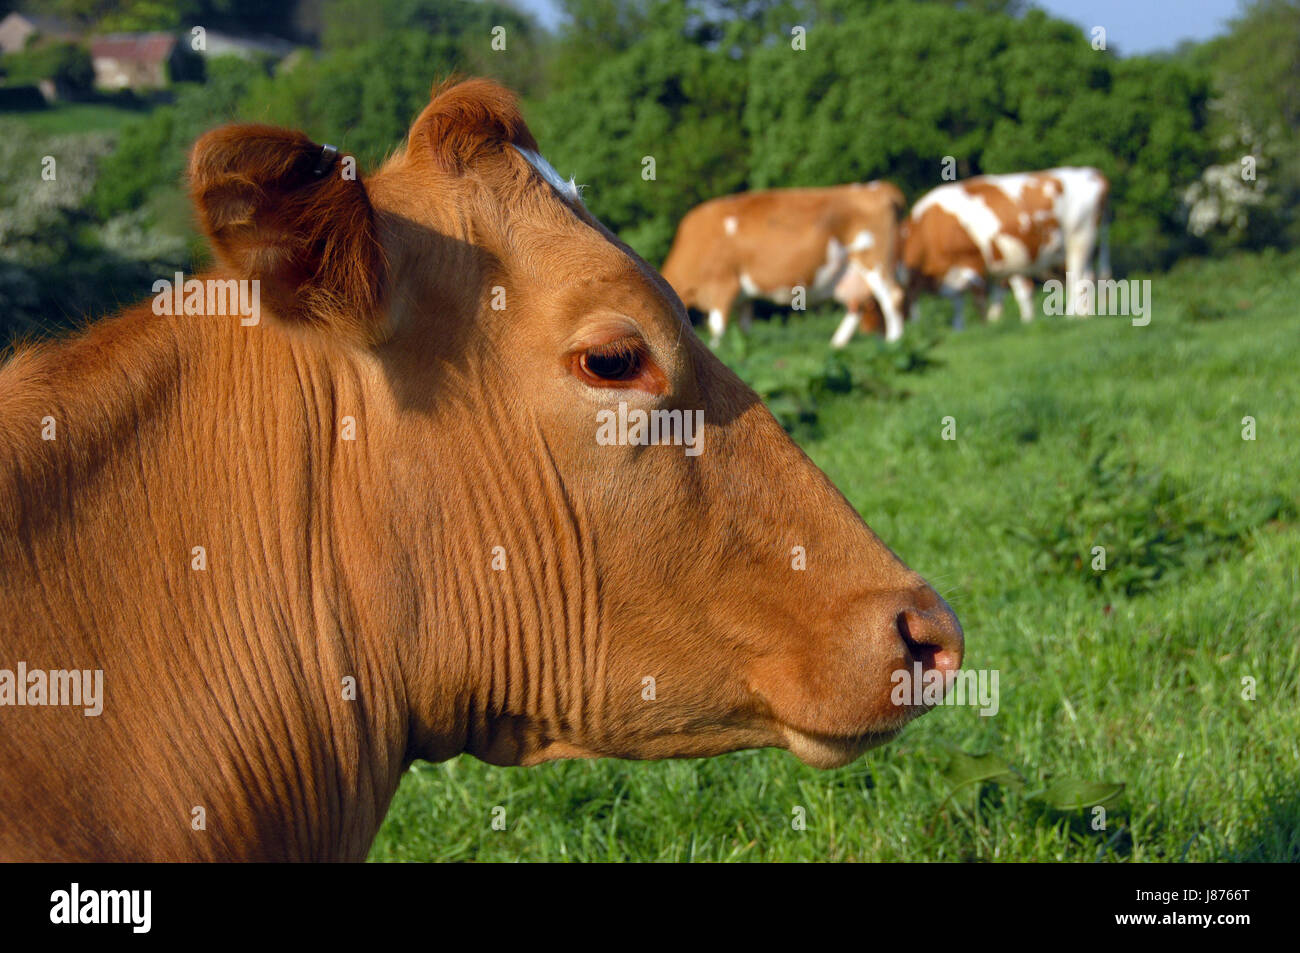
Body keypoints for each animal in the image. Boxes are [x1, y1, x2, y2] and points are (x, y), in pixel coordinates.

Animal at [660, 183, 909, 348]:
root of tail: (876, 188)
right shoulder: (743, 296)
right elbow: (744, 326)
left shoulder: (724, 283)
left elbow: (716, 327)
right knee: (859, 305)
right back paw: (837, 344)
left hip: (875, 262)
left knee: (892, 297)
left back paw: (894, 342)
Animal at [900, 167, 1110, 328]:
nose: (910, 328)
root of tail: (1092, 173)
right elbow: (971, 300)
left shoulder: (976, 262)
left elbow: (982, 300)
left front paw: (986, 326)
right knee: (1087, 278)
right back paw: (1085, 316)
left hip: (1079, 239)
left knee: (1076, 278)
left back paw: (1070, 316)